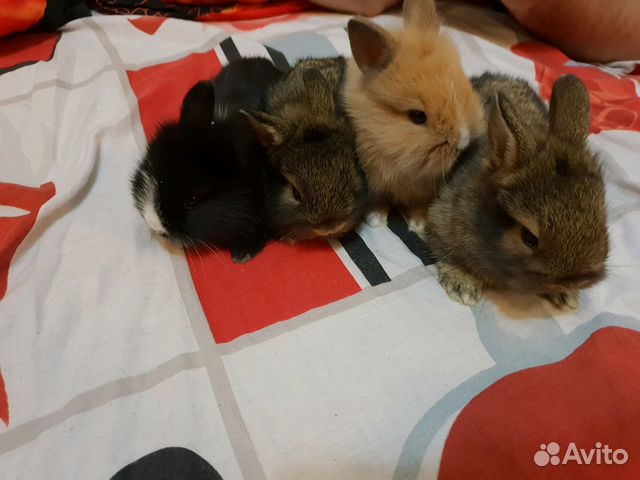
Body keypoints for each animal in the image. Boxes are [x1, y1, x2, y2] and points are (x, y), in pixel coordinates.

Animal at [344, 0, 484, 233]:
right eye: (418, 116)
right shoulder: (376, 184)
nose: (462, 142)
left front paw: (418, 224)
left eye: (464, 86)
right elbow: (379, 201)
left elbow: (418, 206)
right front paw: (375, 220)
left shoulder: (422, 192)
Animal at [425, 73, 609, 311]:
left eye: (602, 223)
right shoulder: (442, 220)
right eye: (529, 238)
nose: (576, 281)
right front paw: (462, 287)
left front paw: (567, 296)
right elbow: (447, 252)